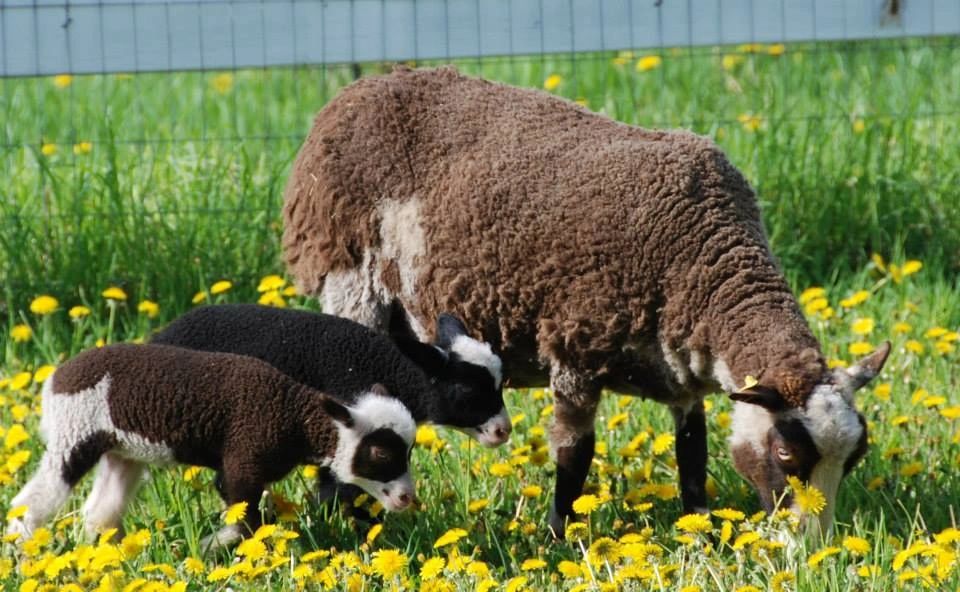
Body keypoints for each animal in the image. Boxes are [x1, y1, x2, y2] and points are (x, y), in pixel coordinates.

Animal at [5, 343, 417, 548]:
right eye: (381, 453)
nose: (407, 499)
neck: (293, 418)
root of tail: (54, 379)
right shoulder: (243, 459)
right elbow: (246, 524)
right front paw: (208, 549)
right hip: (74, 430)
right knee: (29, 503)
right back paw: (23, 557)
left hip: (122, 449)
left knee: (100, 511)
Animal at [280, 66, 892, 538]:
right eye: (787, 455)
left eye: (856, 456)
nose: (811, 548)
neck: (703, 261)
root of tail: (355, 92)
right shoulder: (576, 349)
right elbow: (575, 456)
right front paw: (558, 535)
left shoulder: (682, 379)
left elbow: (692, 455)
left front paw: (699, 527)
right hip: (349, 280)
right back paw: (342, 512)